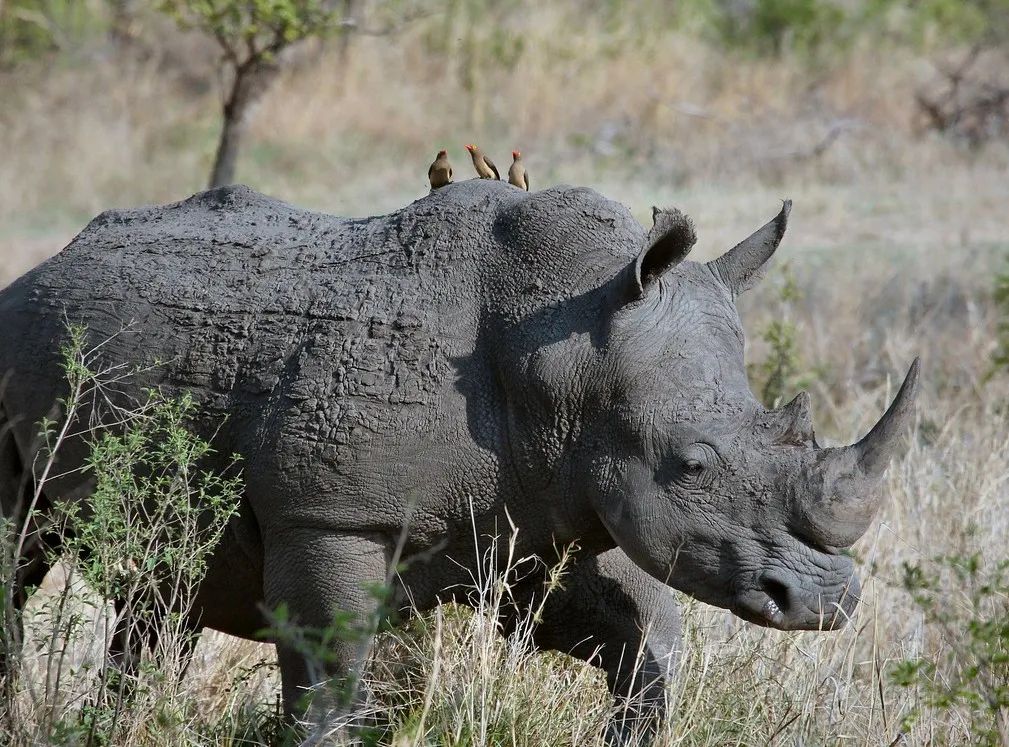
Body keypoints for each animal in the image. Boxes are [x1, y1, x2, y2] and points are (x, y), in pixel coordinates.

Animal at [0, 180, 918, 740]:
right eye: (692, 463)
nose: (823, 600)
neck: (564, 355)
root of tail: (43, 267)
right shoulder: (329, 517)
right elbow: (330, 681)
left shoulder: (539, 509)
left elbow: (642, 646)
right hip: (14, 337)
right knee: (20, 554)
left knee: (164, 587)